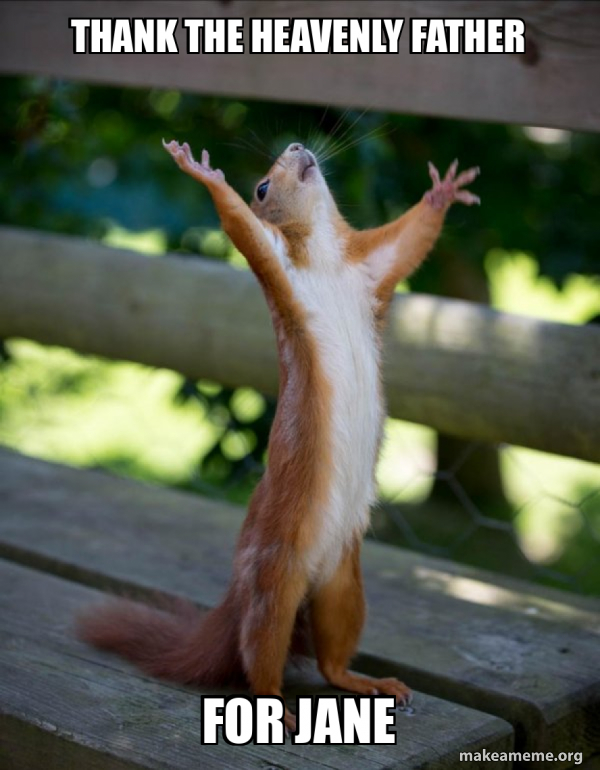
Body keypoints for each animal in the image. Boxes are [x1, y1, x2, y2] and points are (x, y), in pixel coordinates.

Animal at [77, 138, 479, 732]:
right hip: (274, 582)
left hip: (344, 586)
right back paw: (278, 708)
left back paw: (368, 681)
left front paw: (443, 192)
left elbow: (409, 240)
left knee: (332, 659)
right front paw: (204, 174)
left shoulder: (371, 267)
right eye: (262, 187)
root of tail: (240, 594)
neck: (326, 257)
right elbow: (240, 226)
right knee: (259, 655)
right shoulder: (277, 265)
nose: (296, 146)